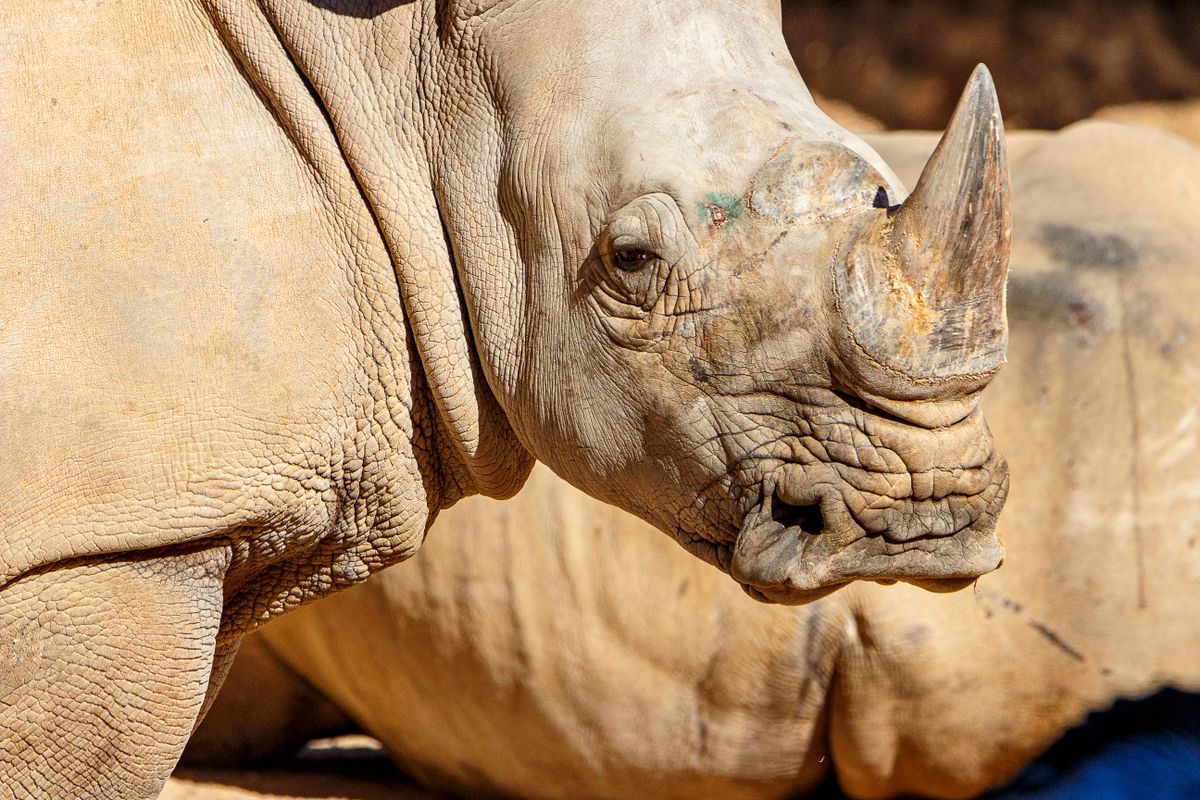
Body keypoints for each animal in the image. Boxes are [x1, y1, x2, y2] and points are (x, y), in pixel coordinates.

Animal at [3, 1, 1012, 795]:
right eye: (630, 260)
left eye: (882, 187)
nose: (926, 517)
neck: (390, 73)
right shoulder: (117, 539)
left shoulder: (187, 525)